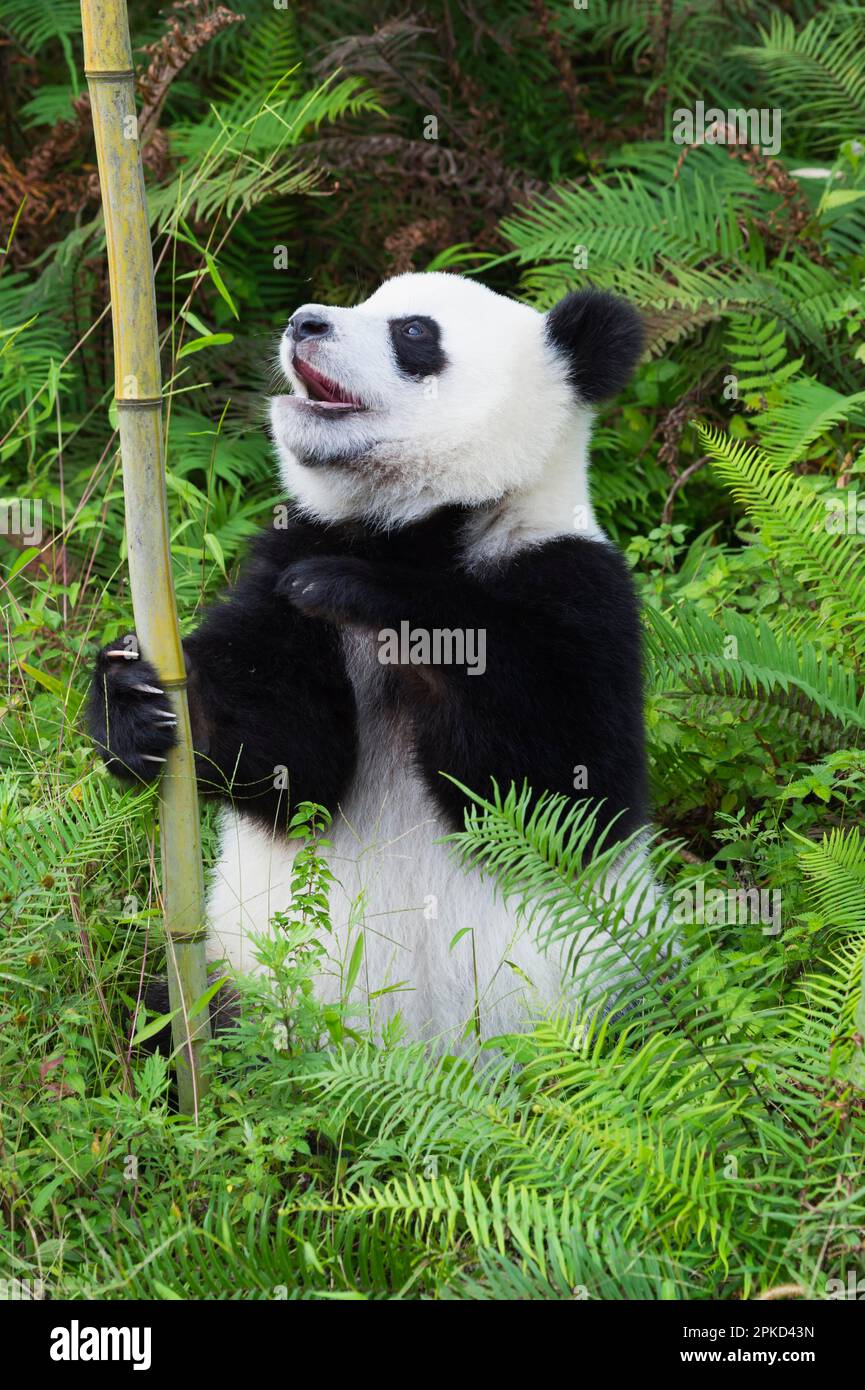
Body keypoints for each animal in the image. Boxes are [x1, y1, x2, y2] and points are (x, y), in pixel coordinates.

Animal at [88, 271, 649, 1046]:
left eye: (413, 332)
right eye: (364, 302)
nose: (304, 322)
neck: (412, 528)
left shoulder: (575, 583)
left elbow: (564, 792)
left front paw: (362, 592)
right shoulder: (285, 557)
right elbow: (293, 760)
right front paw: (136, 700)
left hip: (593, 1006)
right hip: (233, 980)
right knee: (159, 1017)